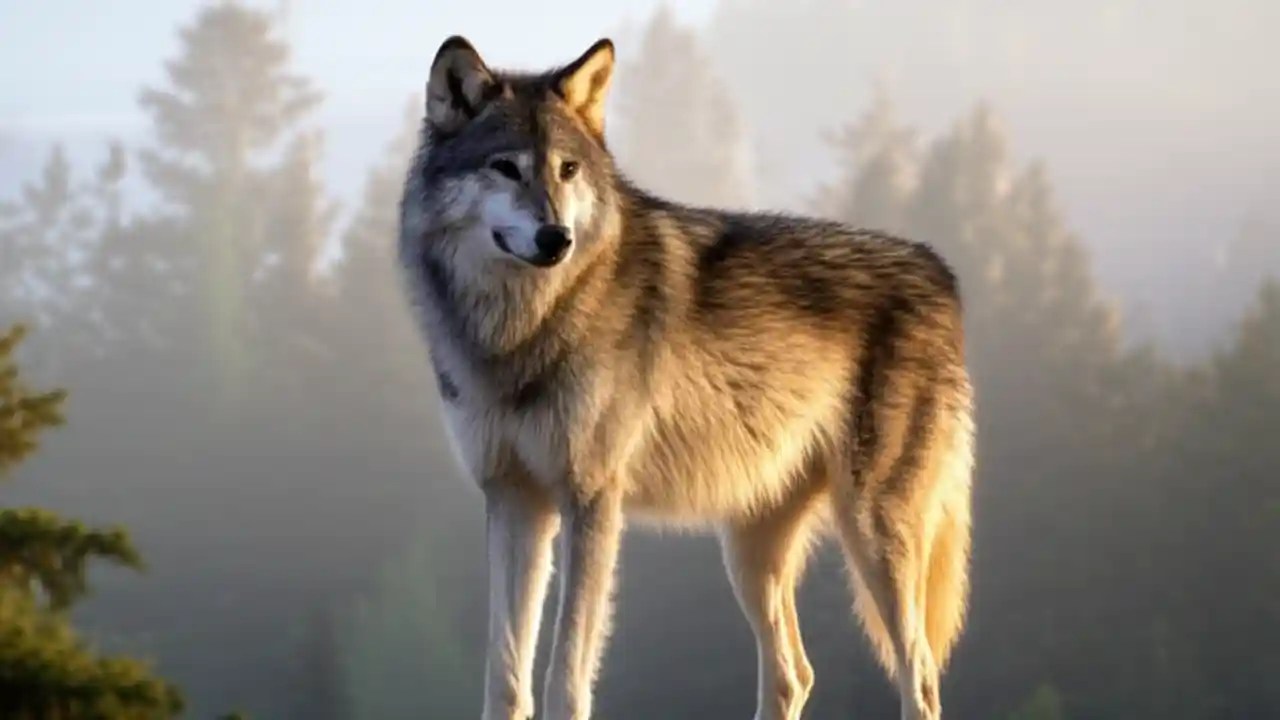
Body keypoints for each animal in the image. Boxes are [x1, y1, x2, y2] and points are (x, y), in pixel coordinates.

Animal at [397, 35, 975, 720]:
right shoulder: (515, 500)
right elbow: (507, 679)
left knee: (922, 675)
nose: (556, 237)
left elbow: (565, 675)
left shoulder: (593, 500)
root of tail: (938, 270)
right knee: (795, 673)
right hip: (750, 552)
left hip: (874, 535)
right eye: (506, 168)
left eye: (568, 170)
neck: (524, 329)